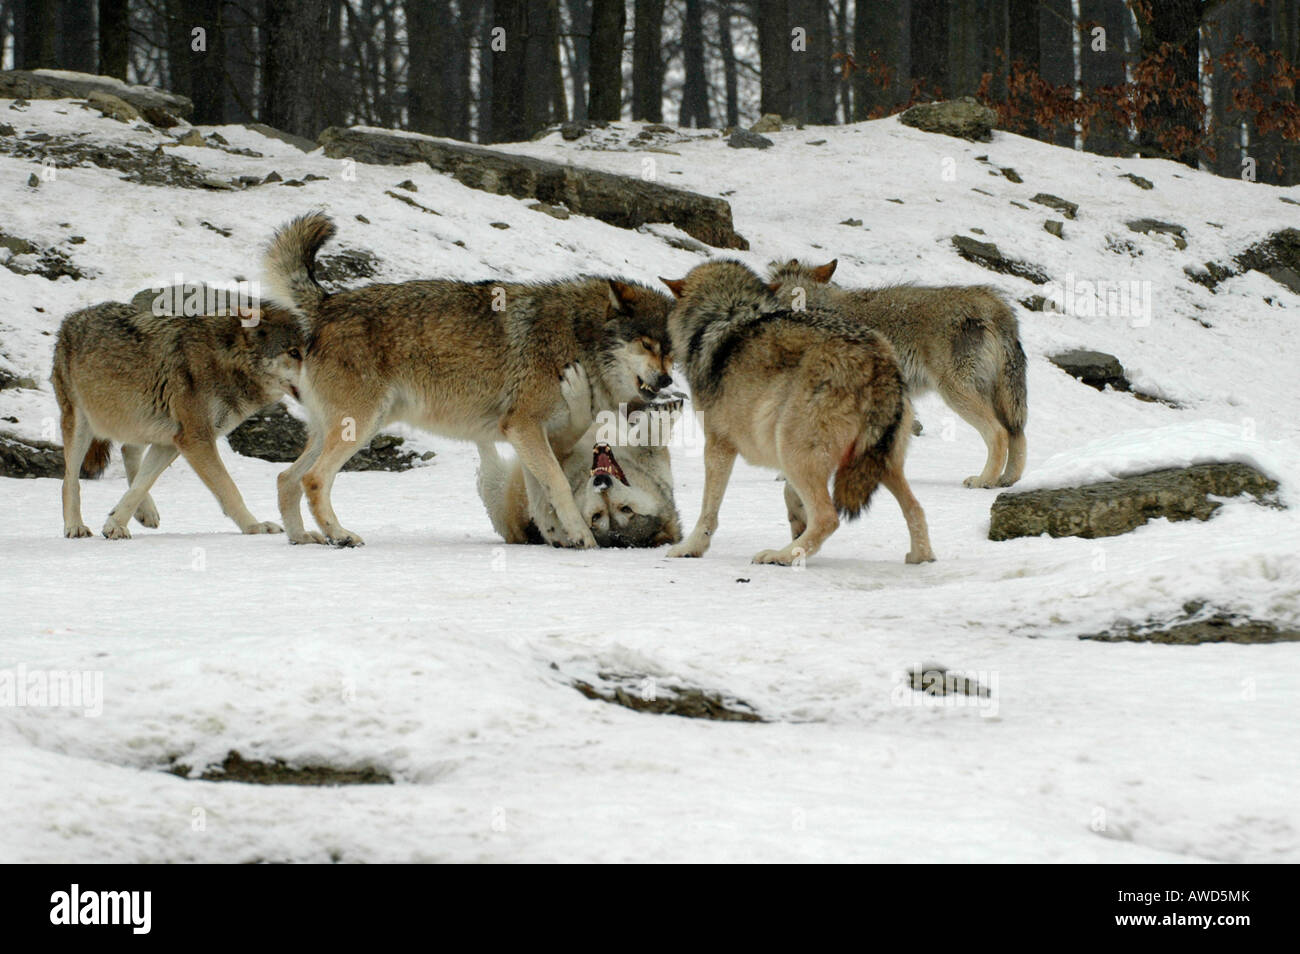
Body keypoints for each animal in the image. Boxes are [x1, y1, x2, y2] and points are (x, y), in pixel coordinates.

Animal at [51, 297, 304, 539]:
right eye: (294, 352)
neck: (227, 360)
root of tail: (72, 317)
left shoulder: (173, 442)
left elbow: (141, 485)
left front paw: (115, 524)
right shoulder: (195, 440)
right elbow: (229, 489)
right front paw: (254, 527)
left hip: (140, 421)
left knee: (128, 452)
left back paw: (145, 512)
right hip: (81, 424)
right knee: (69, 481)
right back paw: (74, 526)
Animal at [477, 364, 681, 548]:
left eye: (625, 509)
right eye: (597, 515)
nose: (602, 482)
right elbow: (652, 441)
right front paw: (665, 414)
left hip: (498, 490)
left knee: (486, 458)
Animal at [660, 260, 934, 566]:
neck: (725, 311)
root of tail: (879, 361)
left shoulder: (718, 444)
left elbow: (709, 510)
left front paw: (690, 547)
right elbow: (788, 495)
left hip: (793, 450)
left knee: (829, 517)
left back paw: (780, 555)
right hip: (876, 464)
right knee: (916, 508)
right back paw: (921, 557)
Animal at [768, 259, 1027, 488]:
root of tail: (996, 305)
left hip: (956, 393)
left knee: (999, 433)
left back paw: (984, 480)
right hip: (999, 397)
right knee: (1016, 433)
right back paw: (1005, 481)